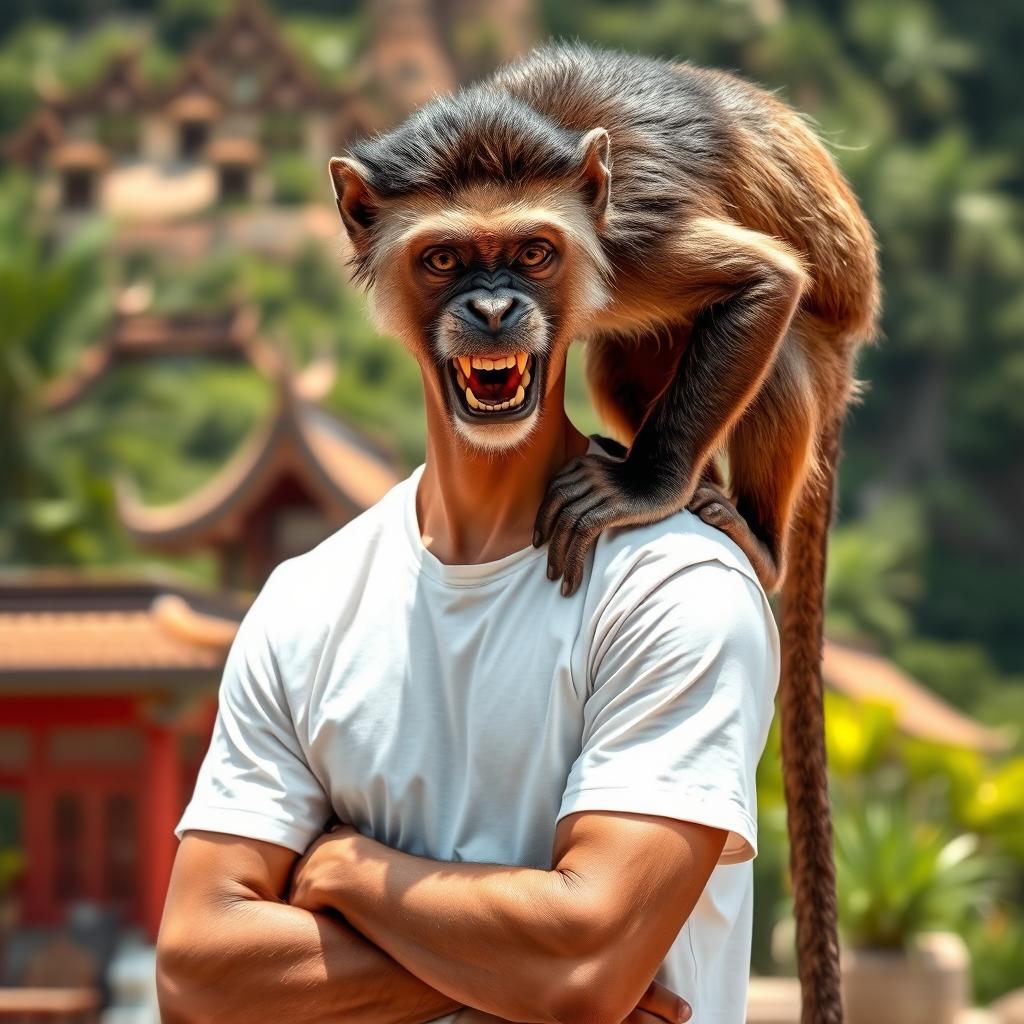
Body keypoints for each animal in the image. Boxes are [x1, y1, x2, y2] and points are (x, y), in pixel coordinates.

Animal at [328, 43, 878, 1024]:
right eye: (444, 259)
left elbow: (764, 283)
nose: (495, 308)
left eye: (533, 252)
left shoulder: (631, 242)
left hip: (823, 348)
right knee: (621, 354)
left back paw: (746, 529)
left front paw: (647, 488)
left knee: (779, 344)